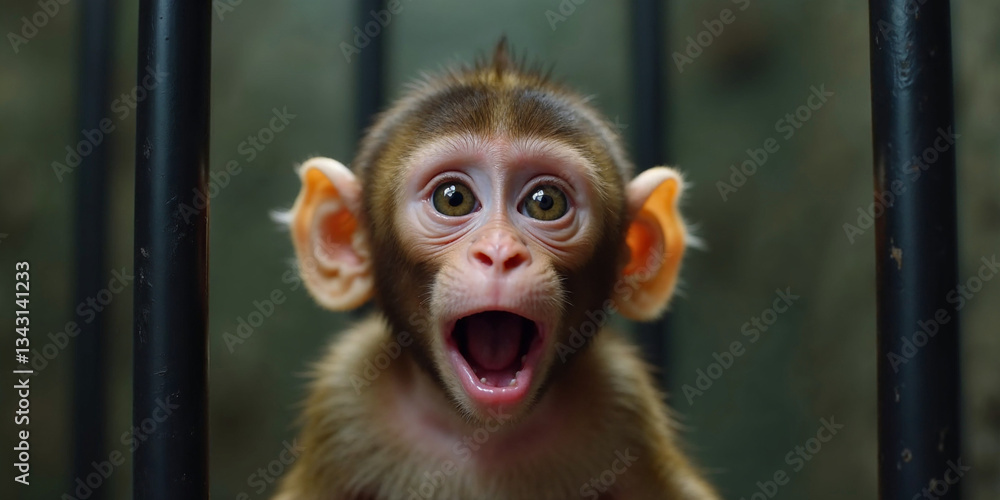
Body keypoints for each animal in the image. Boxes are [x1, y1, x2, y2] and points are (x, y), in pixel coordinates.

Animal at [271, 40, 719, 500]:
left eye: (546, 202)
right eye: (453, 198)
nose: (500, 252)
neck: (481, 435)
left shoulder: (626, 402)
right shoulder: (343, 400)